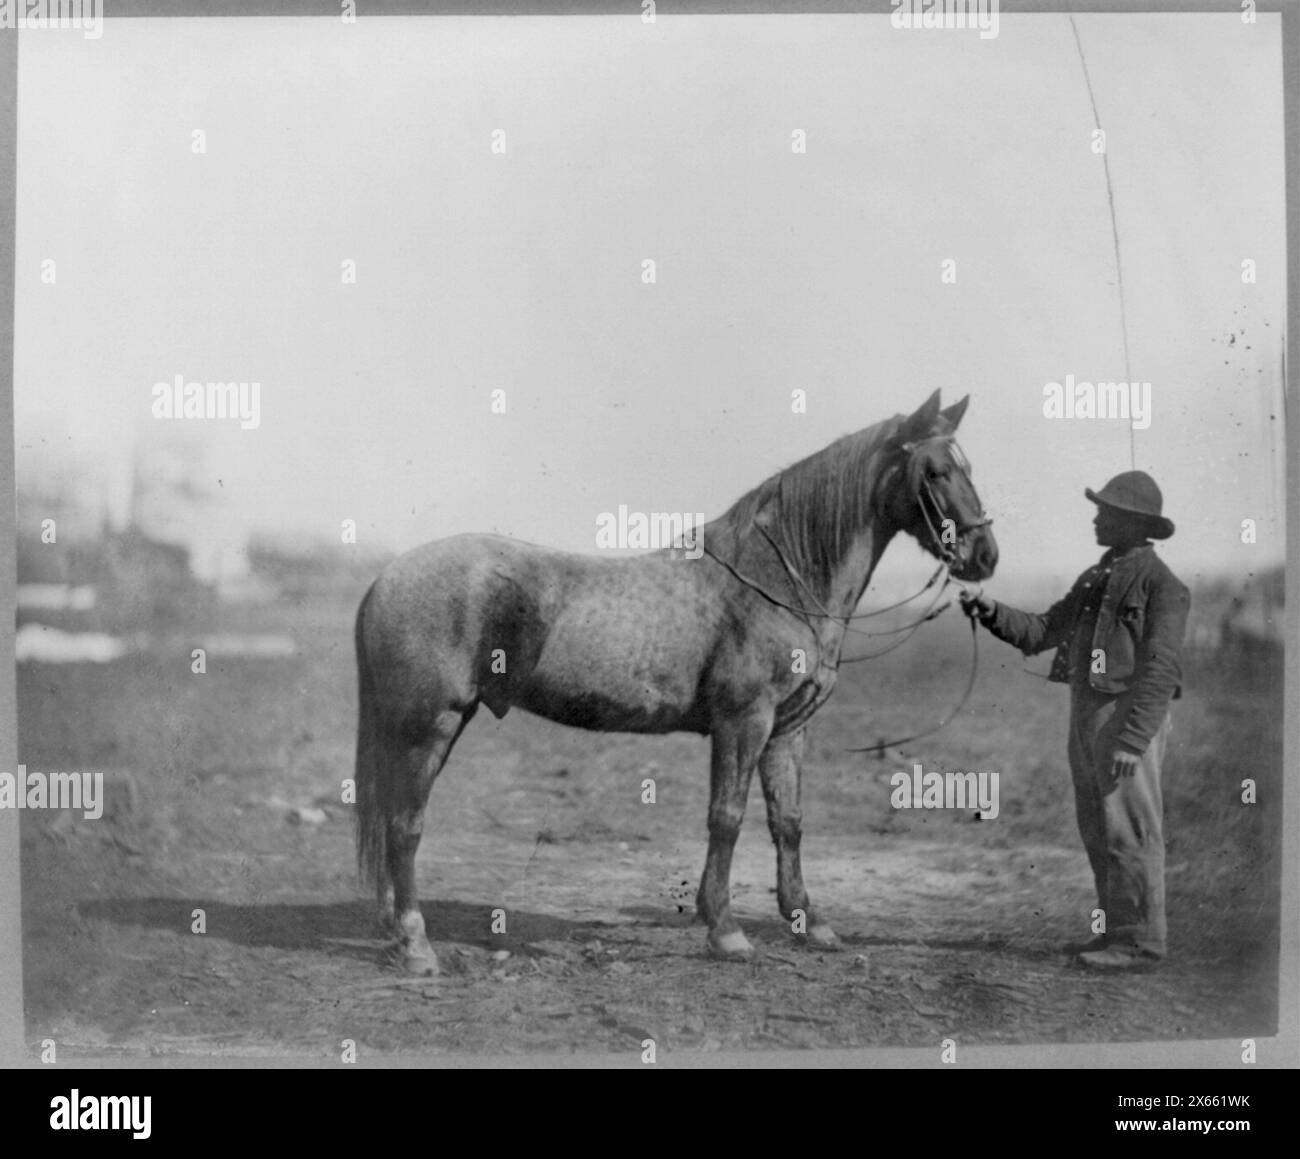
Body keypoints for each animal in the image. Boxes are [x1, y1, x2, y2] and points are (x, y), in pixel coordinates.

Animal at [354, 389, 998, 973]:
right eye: (934, 471)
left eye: (968, 467)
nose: (985, 555)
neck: (780, 578)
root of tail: (384, 579)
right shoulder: (744, 722)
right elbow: (727, 818)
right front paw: (726, 932)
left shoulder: (788, 730)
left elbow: (787, 823)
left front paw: (810, 924)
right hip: (430, 725)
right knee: (405, 824)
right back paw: (415, 944)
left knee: (388, 817)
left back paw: (391, 927)